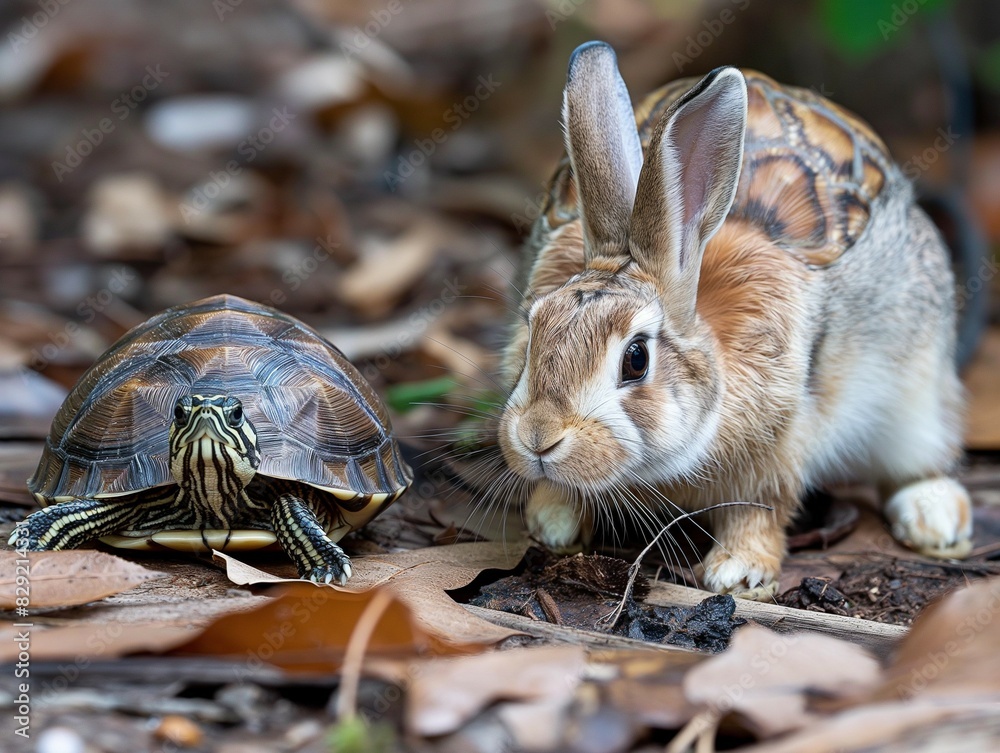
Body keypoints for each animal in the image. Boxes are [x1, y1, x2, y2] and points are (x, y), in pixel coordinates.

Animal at [495, 41, 972, 600]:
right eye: (534, 328)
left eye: (636, 359)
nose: (538, 437)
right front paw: (554, 523)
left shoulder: (777, 454)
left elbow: (760, 510)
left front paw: (738, 574)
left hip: (917, 394)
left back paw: (934, 518)